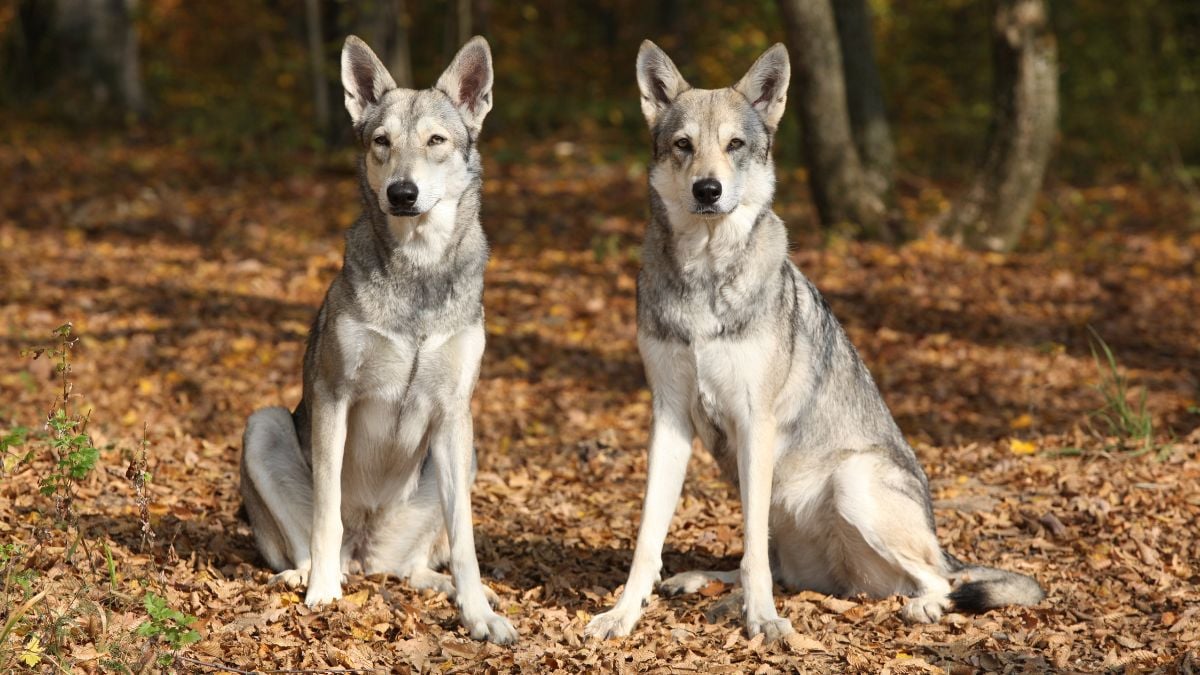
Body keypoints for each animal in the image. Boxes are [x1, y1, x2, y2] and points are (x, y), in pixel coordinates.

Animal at [238, 35, 516, 644]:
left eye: (436, 141)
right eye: (382, 142)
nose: (402, 193)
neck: (417, 271)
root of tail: (368, 555)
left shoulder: (455, 412)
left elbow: (465, 539)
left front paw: (478, 614)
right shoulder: (334, 396)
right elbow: (325, 516)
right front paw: (321, 594)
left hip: (462, 455)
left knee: (411, 567)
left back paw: (450, 588)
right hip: (263, 423)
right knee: (318, 547)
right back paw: (310, 577)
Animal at [585, 40, 1043, 643]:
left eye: (735, 145)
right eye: (684, 145)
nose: (708, 190)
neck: (704, 277)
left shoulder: (755, 421)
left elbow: (752, 555)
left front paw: (762, 621)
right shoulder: (670, 418)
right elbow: (648, 539)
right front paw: (622, 614)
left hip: (851, 482)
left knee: (941, 581)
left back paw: (922, 606)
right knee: (771, 562)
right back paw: (703, 583)